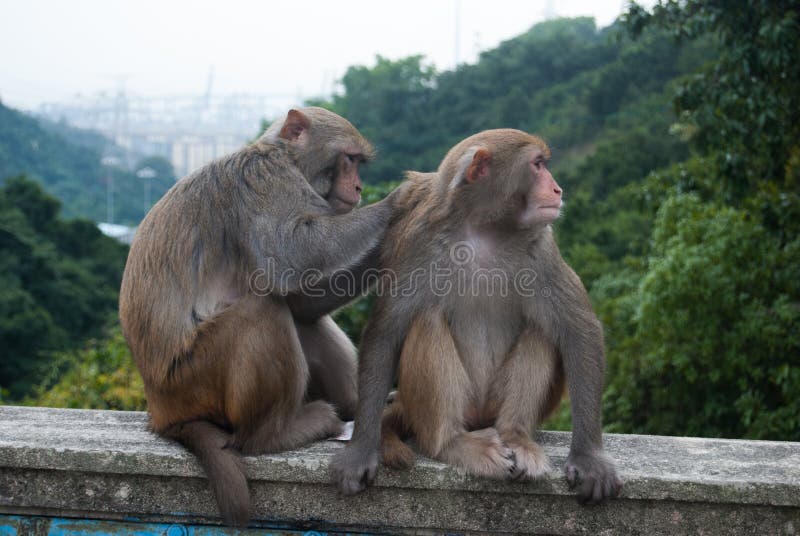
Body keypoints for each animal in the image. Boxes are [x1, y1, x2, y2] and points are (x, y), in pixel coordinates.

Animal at [119, 107, 400, 527]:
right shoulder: (264, 182)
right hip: (191, 378)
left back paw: (357, 407)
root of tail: (162, 412)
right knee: (261, 310)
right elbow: (290, 253)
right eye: (348, 159)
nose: (358, 188)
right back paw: (275, 435)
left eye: (358, 163)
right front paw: (407, 198)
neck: (283, 156)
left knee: (299, 318)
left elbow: (301, 299)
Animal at [331, 129, 622, 504]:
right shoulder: (417, 242)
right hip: (445, 406)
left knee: (540, 330)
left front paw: (588, 458)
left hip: (492, 409)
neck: (484, 230)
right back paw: (452, 442)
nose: (557, 189)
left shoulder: (541, 247)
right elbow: (386, 332)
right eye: (537, 165)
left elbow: (577, 329)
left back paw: (515, 436)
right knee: (427, 320)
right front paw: (360, 452)